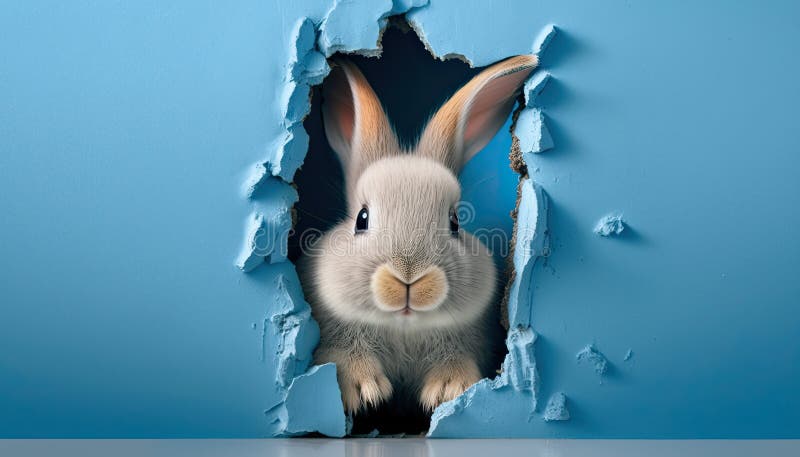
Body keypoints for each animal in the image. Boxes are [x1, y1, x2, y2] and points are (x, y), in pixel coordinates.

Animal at [297, 54, 538, 414]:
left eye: (455, 222)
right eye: (362, 219)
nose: (408, 277)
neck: (404, 329)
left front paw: (449, 389)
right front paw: (364, 391)